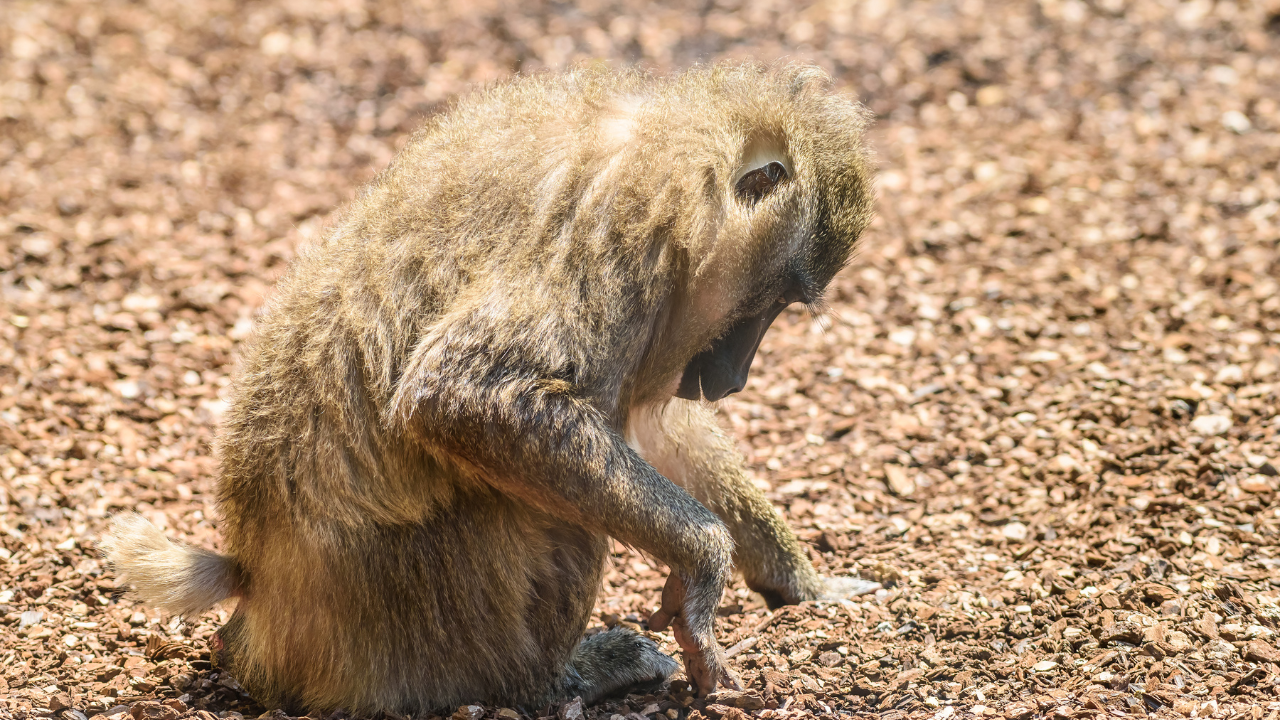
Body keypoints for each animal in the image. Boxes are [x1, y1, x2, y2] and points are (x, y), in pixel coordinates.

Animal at [101, 63, 877, 716]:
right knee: (552, 515)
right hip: (424, 618)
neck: (685, 151)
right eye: (767, 305)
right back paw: (550, 684)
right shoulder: (627, 230)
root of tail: (252, 576)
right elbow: (465, 396)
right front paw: (704, 565)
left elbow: (657, 430)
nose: (732, 378)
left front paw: (796, 579)